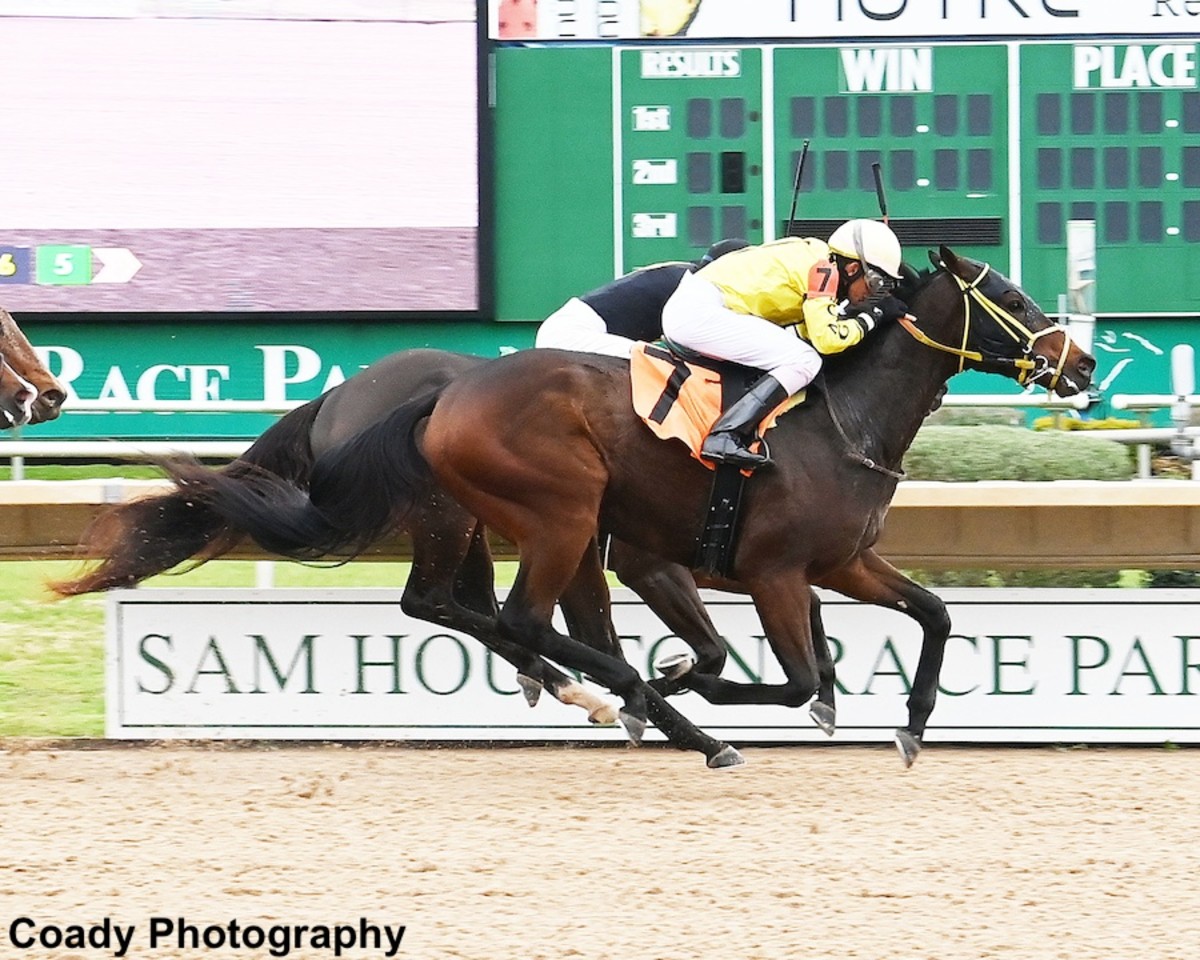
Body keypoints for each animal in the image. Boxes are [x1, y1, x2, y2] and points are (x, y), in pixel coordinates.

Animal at [127, 247, 1095, 767]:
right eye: (1011, 298)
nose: (1082, 364)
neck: (841, 420)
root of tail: (438, 397)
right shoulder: (768, 571)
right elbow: (788, 675)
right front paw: (680, 682)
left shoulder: (842, 560)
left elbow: (932, 613)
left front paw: (913, 725)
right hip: (555, 515)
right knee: (510, 614)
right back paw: (645, 706)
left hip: (520, 525)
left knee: (469, 608)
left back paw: (615, 697)